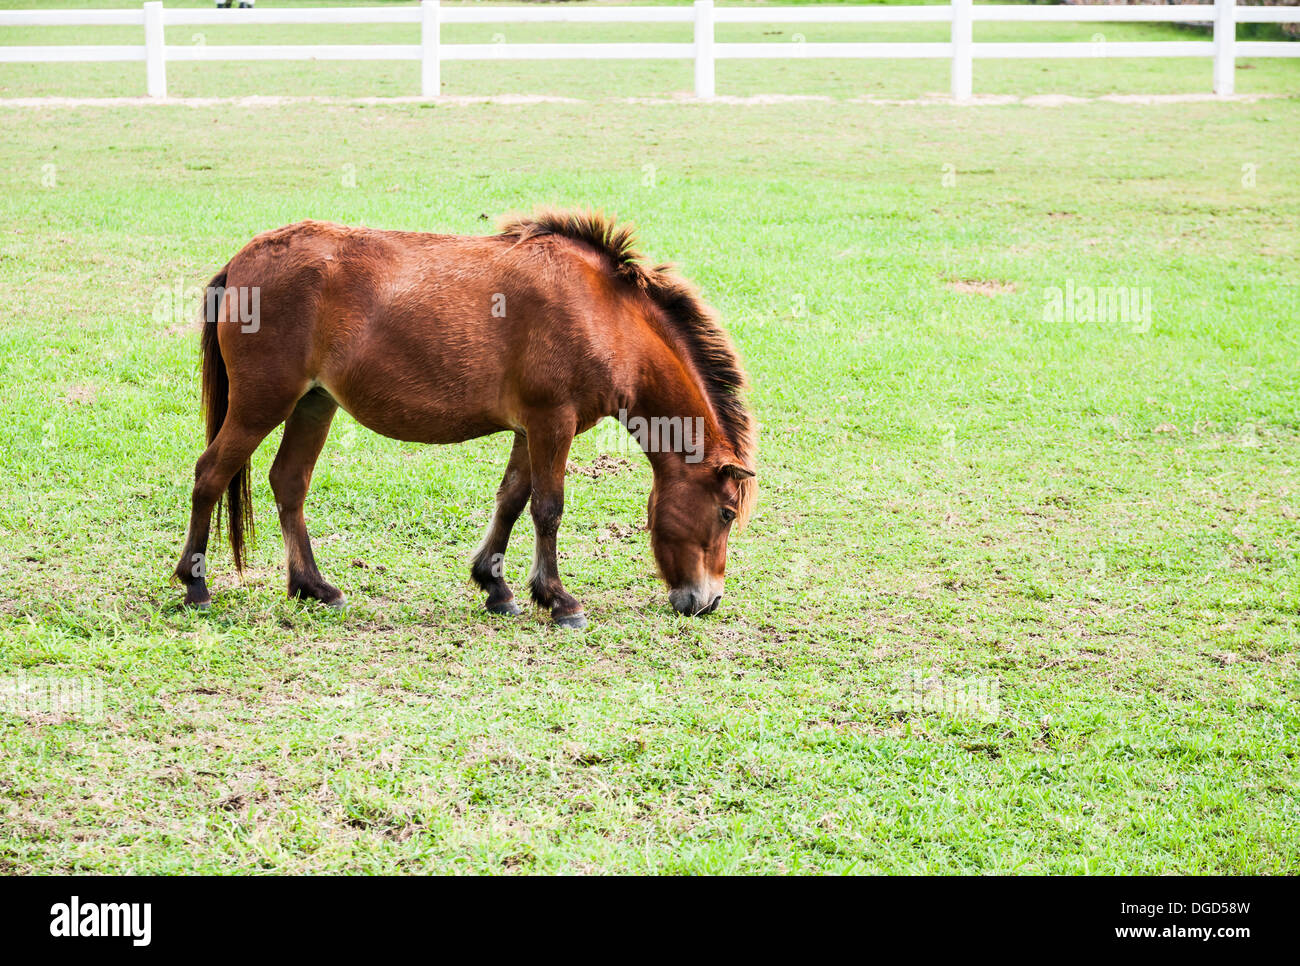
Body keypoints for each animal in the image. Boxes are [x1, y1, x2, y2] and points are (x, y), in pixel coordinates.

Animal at [173, 210, 756, 628]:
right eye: (727, 513)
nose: (707, 601)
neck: (602, 313)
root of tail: (241, 262)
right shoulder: (553, 423)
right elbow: (548, 508)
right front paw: (559, 600)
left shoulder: (529, 429)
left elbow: (512, 501)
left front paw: (496, 587)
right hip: (261, 405)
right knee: (210, 475)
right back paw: (196, 586)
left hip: (314, 404)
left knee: (289, 483)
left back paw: (314, 588)